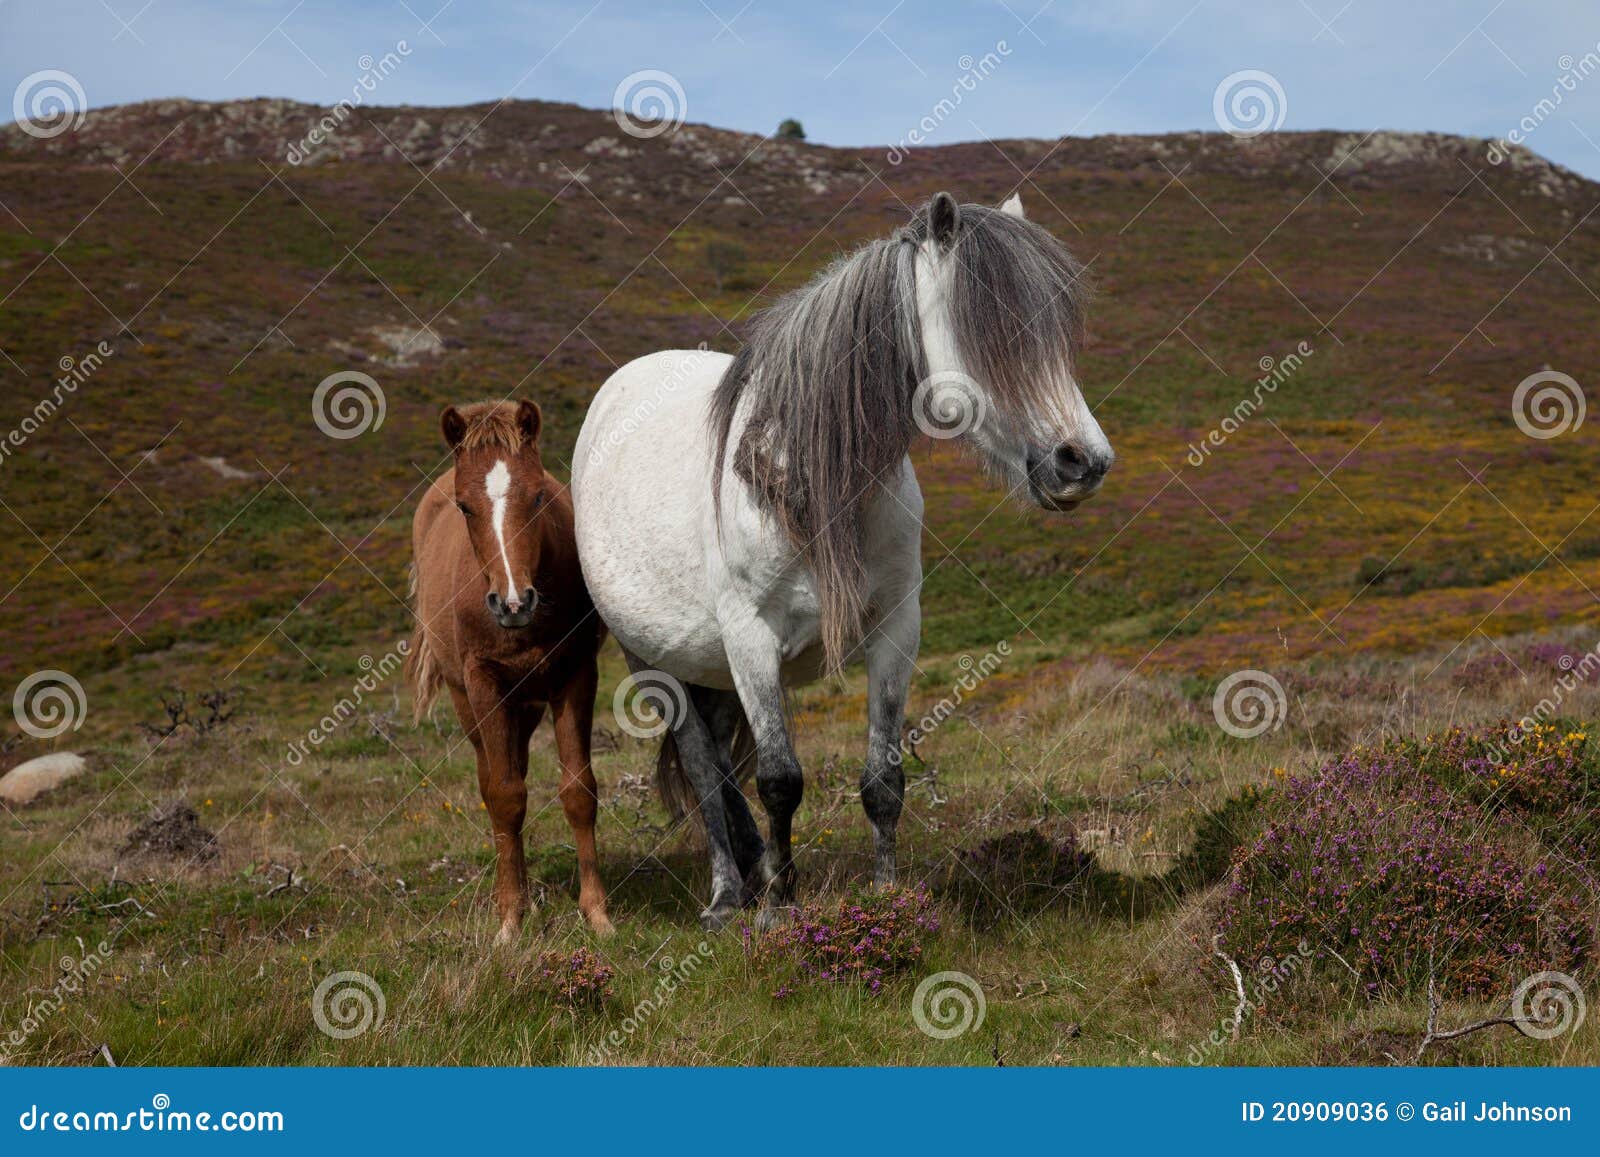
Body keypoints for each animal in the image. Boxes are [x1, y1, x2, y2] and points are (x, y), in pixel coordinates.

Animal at [406, 399, 613, 944]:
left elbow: (578, 791)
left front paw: (597, 913)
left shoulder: (574, 676)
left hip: (527, 705)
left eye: (537, 495)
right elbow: (502, 797)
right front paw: (509, 921)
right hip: (470, 702)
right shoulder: (484, 685)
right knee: (496, 784)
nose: (514, 602)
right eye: (464, 506)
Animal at [571, 192, 1111, 931]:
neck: (801, 481)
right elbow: (778, 779)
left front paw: (888, 898)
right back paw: (728, 895)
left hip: (706, 666)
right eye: (989, 330)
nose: (1083, 461)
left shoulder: (896, 629)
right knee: (705, 772)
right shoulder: (750, 641)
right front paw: (779, 907)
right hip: (651, 661)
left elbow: (883, 778)